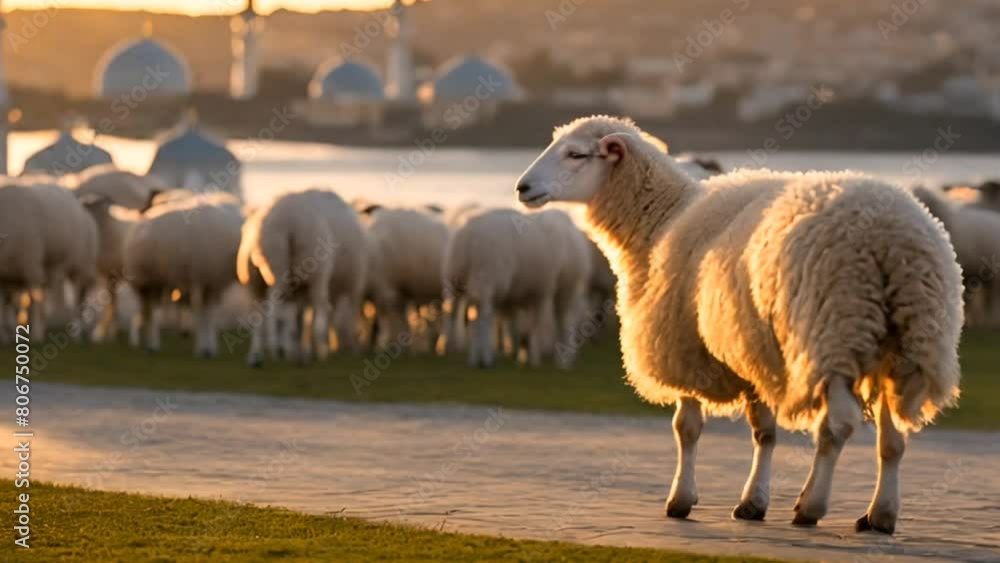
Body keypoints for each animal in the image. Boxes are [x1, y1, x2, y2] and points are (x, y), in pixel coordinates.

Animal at [123, 196, 243, 357]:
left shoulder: (212, 282)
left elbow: (209, 314)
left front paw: (210, 348)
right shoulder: (200, 278)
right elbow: (201, 313)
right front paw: (202, 349)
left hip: (154, 283)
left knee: (150, 311)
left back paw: (151, 345)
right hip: (145, 281)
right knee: (150, 313)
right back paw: (152, 345)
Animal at [236, 189, 367, 366]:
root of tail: (287, 220)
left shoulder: (301, 290)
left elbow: (302, 318)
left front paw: (301, 351)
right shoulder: (352, 283)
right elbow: (317, 317)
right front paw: (316, 350)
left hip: (259, 278)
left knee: (259, 312)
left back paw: (257, 355)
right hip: (312, 271)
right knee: (288, 307)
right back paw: (280, 348)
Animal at [443, 208, 558, 368]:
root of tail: (471, 234)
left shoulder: (515, 299)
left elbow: (515, 323)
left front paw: (520, 353)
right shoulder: (538, 295)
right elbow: (532, 325)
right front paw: (532, 357)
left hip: (457, 279)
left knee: (456, 314)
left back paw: (457, 350)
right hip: (487, 277)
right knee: (484, 316)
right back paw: (485, 359)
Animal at [515, 115, 963, 534]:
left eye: (576, 154)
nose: (522, 188)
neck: (661, 220)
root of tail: (893, 238)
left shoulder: (684, 344)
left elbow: (687, 428)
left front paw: (681, 500)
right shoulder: (749, 348)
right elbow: (765, 433)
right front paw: (753, 503)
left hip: (832, 331)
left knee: (838, 426)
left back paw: (812, 507)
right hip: (907, 345)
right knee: (894, 440)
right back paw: (880, 515)